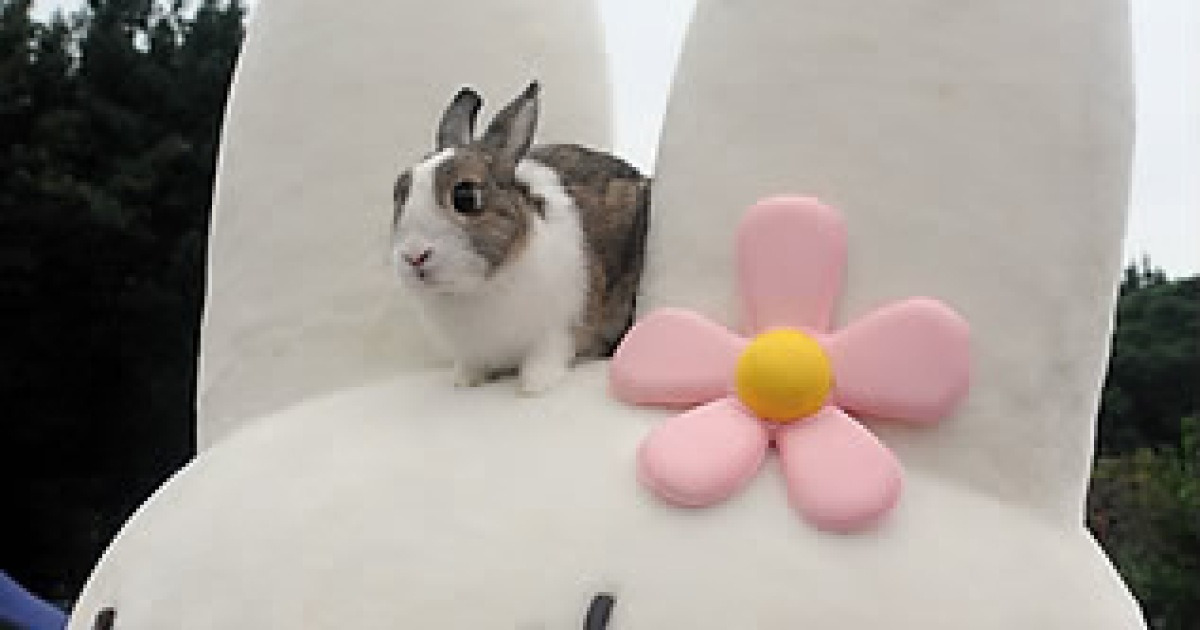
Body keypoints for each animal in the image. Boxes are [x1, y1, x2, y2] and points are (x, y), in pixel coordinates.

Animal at [391, 82, 651, 394]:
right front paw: (463, 381)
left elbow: (546, 357)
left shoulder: (557, 331)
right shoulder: (473, 352)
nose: (414, 255)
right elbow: (472, 365)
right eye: (398, 192)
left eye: (466, 197)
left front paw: (533, 386)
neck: (477, 288)